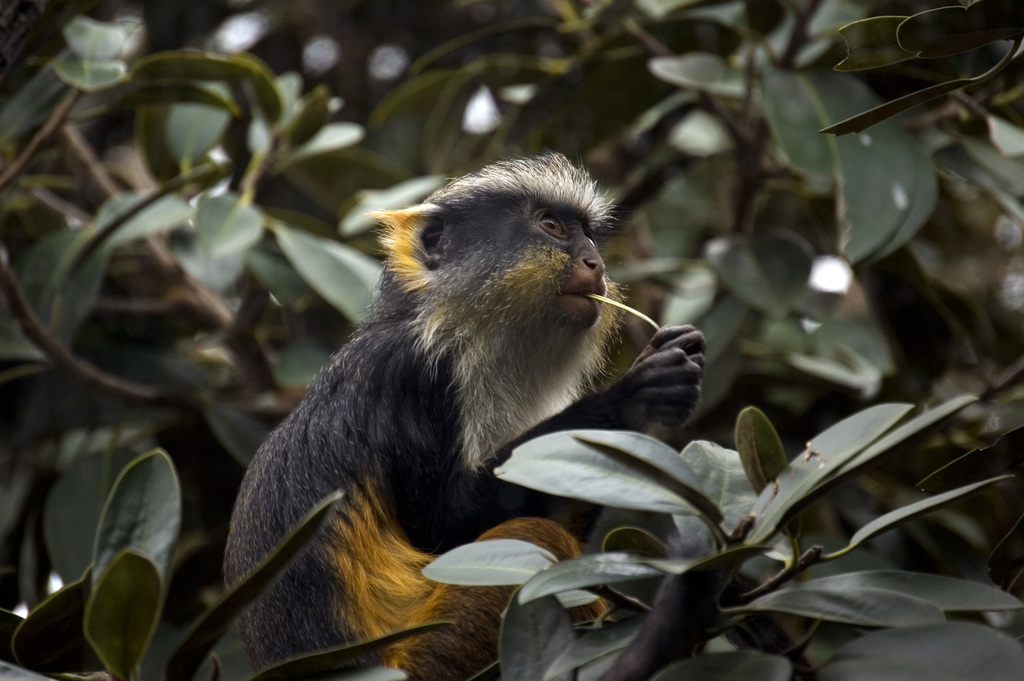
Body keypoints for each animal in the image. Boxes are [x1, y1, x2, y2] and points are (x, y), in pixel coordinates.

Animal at [222, 153, 706, 680]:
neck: (452, 328)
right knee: (531, 536)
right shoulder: (408, 374)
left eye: (588, 235)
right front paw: (634, 394)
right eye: (551, 226)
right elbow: (443, 521)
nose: (593, 262)